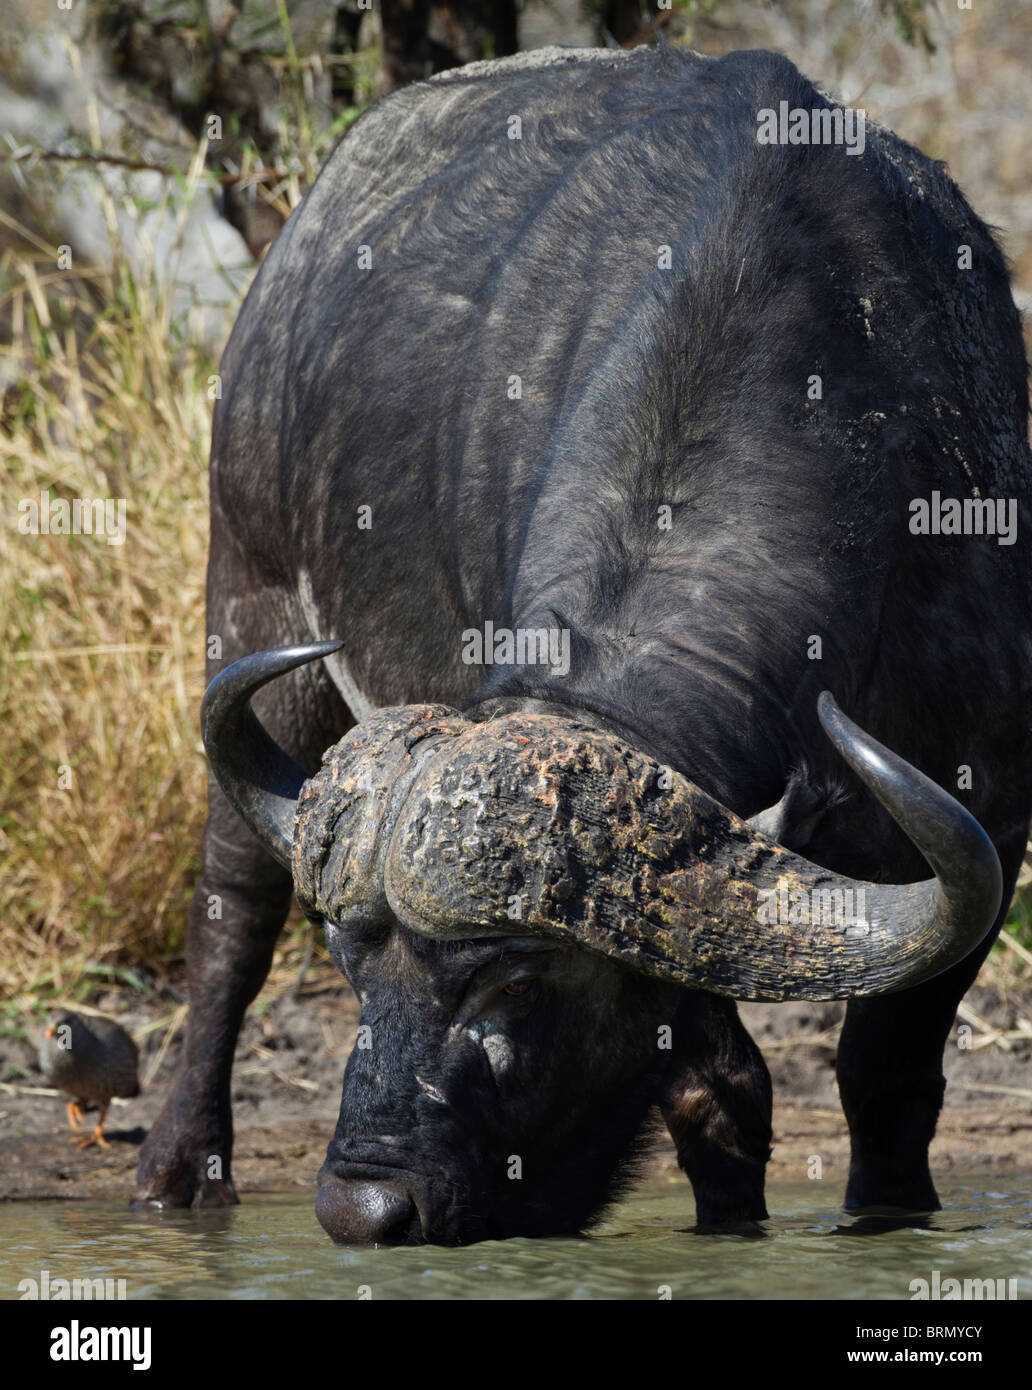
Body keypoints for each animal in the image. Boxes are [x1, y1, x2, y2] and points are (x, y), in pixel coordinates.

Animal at [133, 44, 1032, 1245]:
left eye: (516, 984)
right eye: (352, 968)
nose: (364, 1206)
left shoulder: (992, 816)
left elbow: (885, 1082)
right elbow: (717, 1088)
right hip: (250, 602)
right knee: (230, 909)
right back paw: (179, 1168)